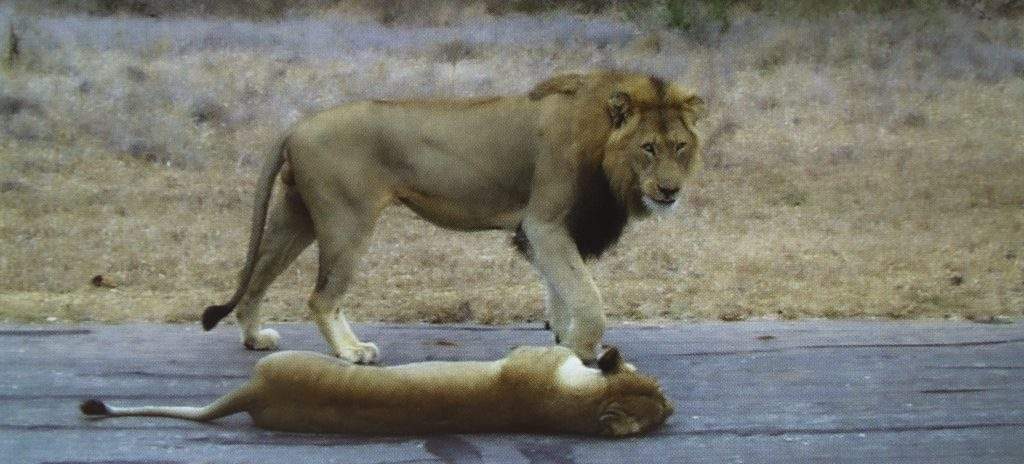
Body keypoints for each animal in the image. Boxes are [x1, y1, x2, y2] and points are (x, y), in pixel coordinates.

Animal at [201, 70, 705, 363]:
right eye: (648, 148)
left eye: (680, 146)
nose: (670, 190)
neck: (602, 145)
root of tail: (296, 125)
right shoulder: (544, 223)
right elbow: (586, 296)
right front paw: (585, 353)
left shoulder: (546, 231)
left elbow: (561, 292)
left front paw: (563, 343)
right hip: (347, 221)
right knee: (321, 297)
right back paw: (351, 351)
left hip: (297, 216)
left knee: (256, 278)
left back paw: (255, 338)